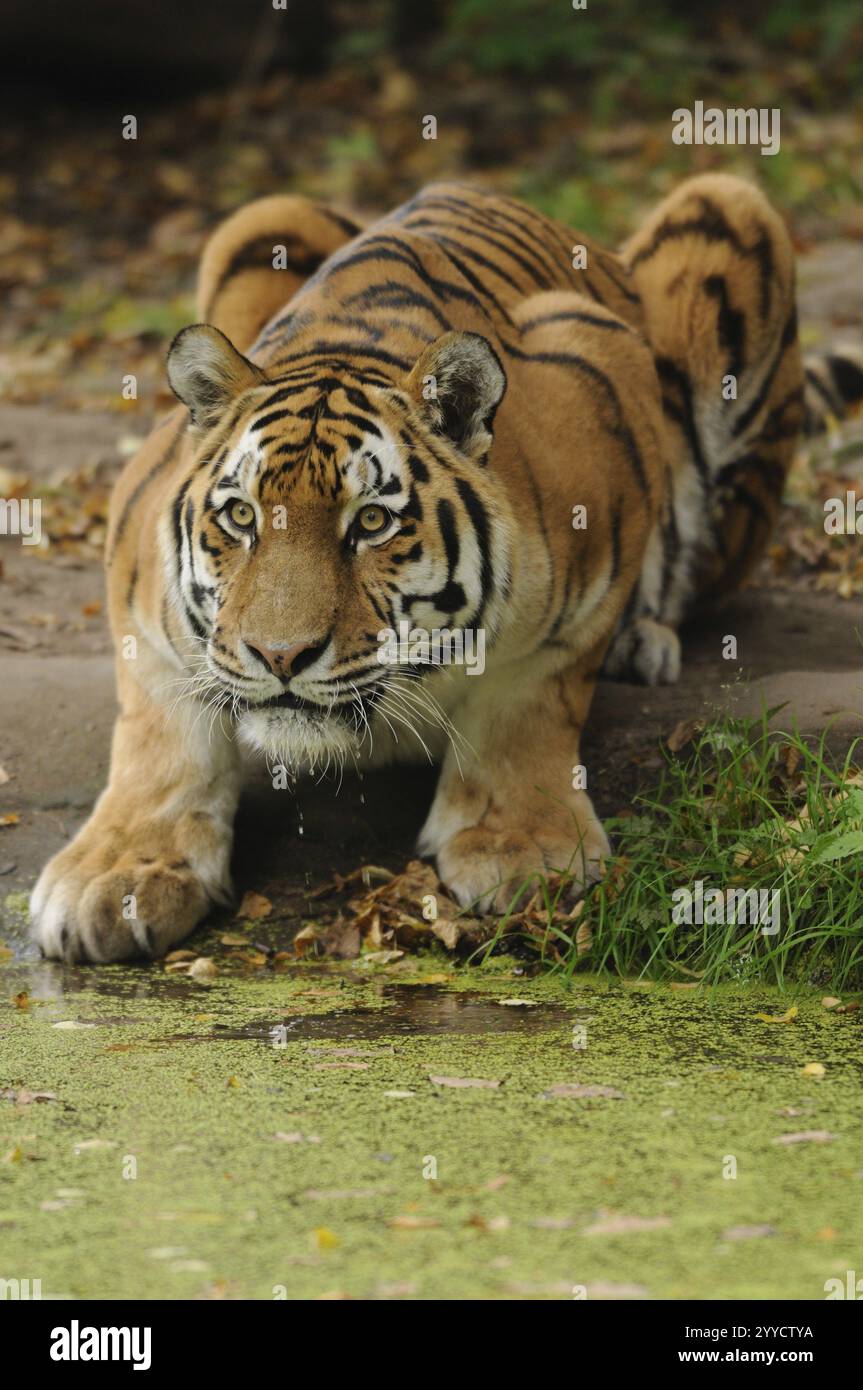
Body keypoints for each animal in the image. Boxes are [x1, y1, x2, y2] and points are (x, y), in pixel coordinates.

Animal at [28, 174, 860, 963]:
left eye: (370, 523)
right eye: (240, 518)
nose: (279, 656)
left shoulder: (594, 370)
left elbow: (529, 699)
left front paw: (521, 850)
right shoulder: (136, 569)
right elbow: (157, 731)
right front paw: (117, 877)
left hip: (730, 210)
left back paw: (641, 638)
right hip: (260, 221)